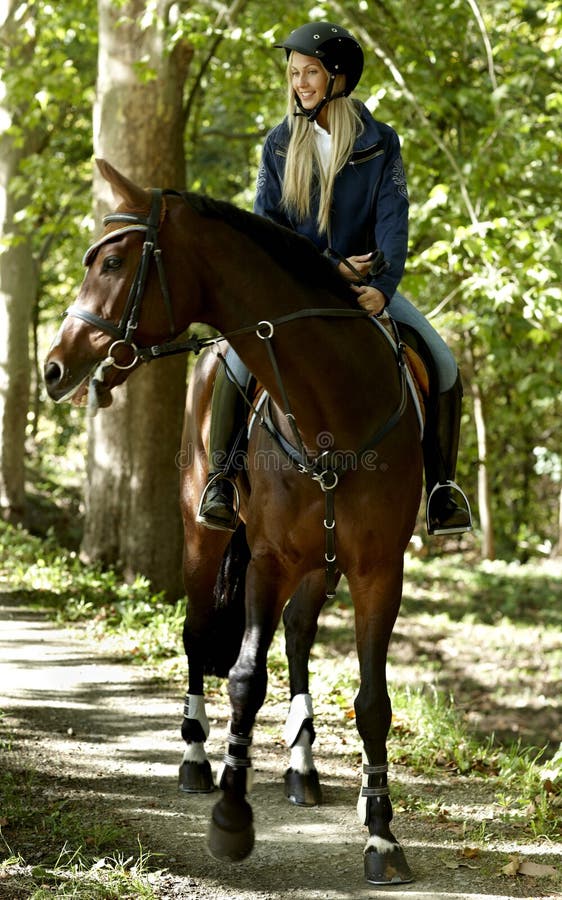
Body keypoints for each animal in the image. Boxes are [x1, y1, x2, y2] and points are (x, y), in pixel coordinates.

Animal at [44, 159, 423, 885]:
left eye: (113, 261)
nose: (53, 366)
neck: (330, 403)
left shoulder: (377, 569)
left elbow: (371, 702)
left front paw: (382, 836)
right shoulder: (268, 560)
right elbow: (246, 679)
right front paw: (230, 817)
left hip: (320, 565)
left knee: (299, 639)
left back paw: (303, 769)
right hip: (206, 538)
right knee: (197, 636)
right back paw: (195, 762)